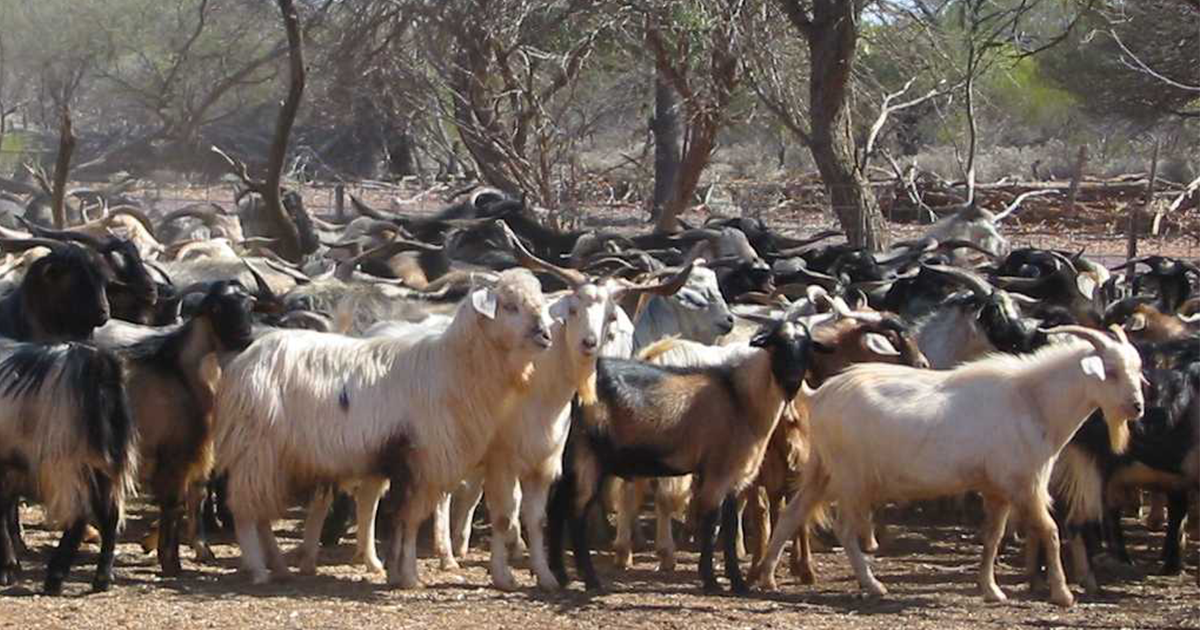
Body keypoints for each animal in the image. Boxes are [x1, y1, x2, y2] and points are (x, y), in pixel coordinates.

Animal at [752, 325, 1144, 608]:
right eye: (1110, 371)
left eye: (1137, 370)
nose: (1137, 406)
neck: (1032, 402)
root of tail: (819, 395)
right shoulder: (1025, 484)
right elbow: (1049, 530)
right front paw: (1063, 595)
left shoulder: (997, 489)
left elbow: (992, 536)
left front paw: (990, 589)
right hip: (851, 478)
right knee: (845, 529)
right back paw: (873, 584)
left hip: (823, 468)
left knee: (793, 514)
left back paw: (767, 578)